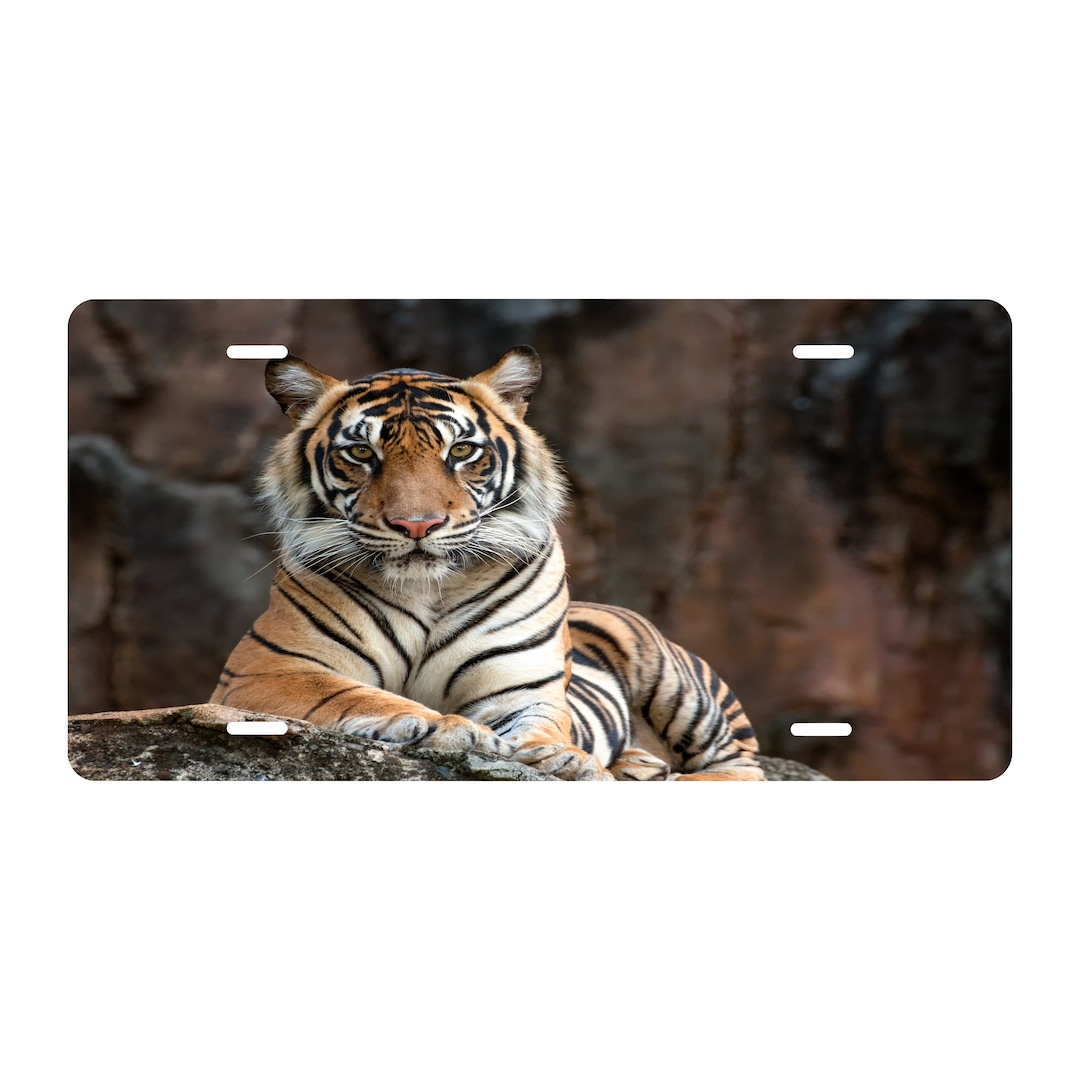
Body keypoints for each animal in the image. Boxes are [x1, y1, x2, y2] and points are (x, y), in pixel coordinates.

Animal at [211, 346, 764, 781]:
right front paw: (447, 727)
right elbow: (357, 695)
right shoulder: (268, 670)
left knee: (741, 767)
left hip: (678, 686)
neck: (428, 590)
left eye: (460, 451)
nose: (417, 525)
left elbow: (544, 728)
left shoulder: (524, 688)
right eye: (362, 453)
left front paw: (564, 758)